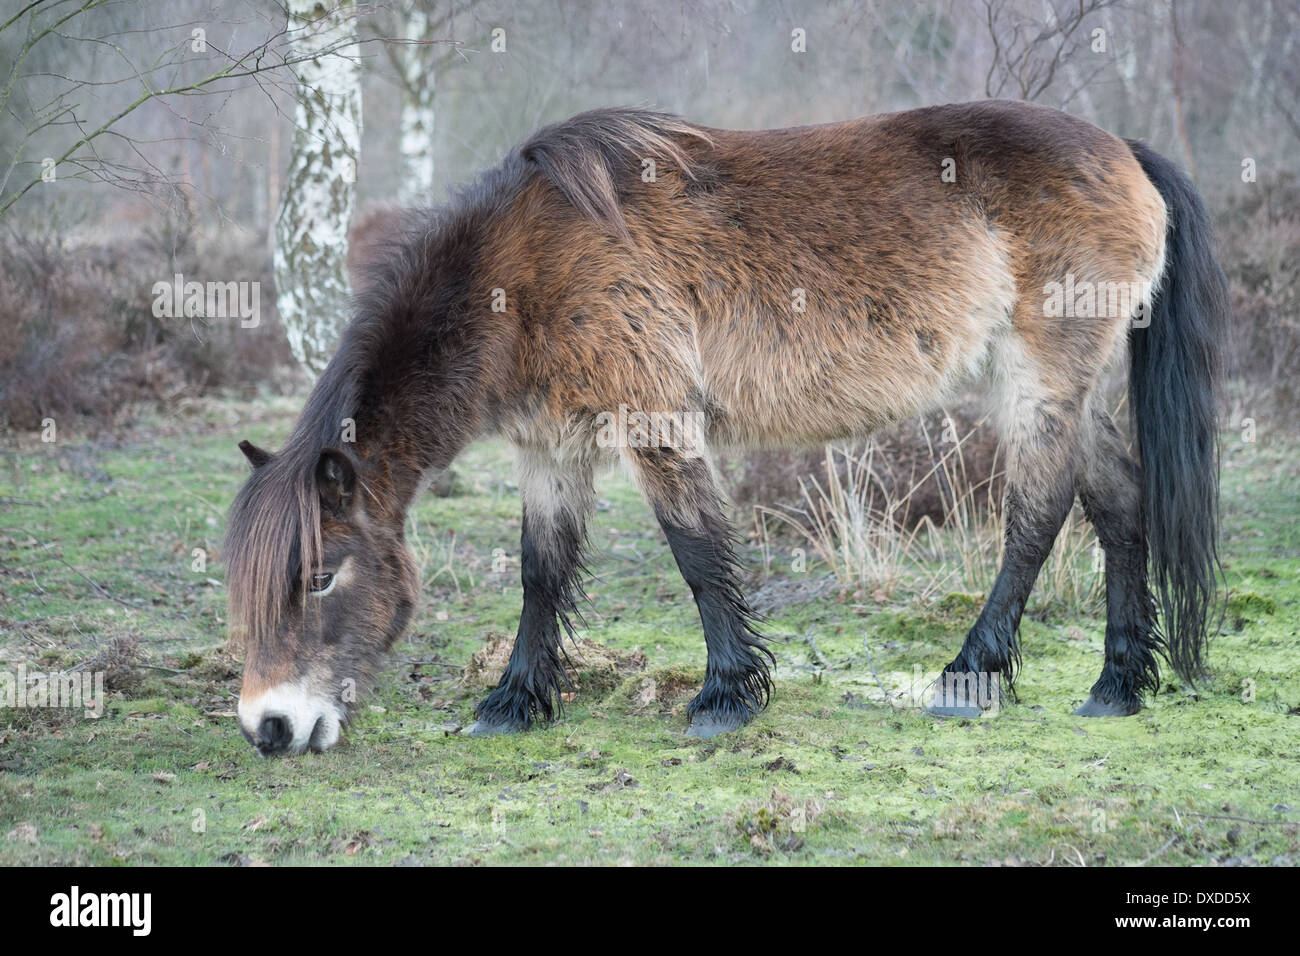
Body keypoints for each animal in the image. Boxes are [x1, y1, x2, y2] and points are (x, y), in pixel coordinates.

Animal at [225, 99, 1227, 756]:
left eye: (319, 575)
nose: (270, 727)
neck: (526, 269)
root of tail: (1126, 151)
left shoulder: (656, 421)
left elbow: (698, 553)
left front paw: (725, 697)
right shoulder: (549, 447)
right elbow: (543, 571)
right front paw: (513, 702)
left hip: (1040, 382)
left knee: (1038, 514)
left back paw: (969, 677)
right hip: (1073, 389)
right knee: (1120, 507)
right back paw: (1117, 687)